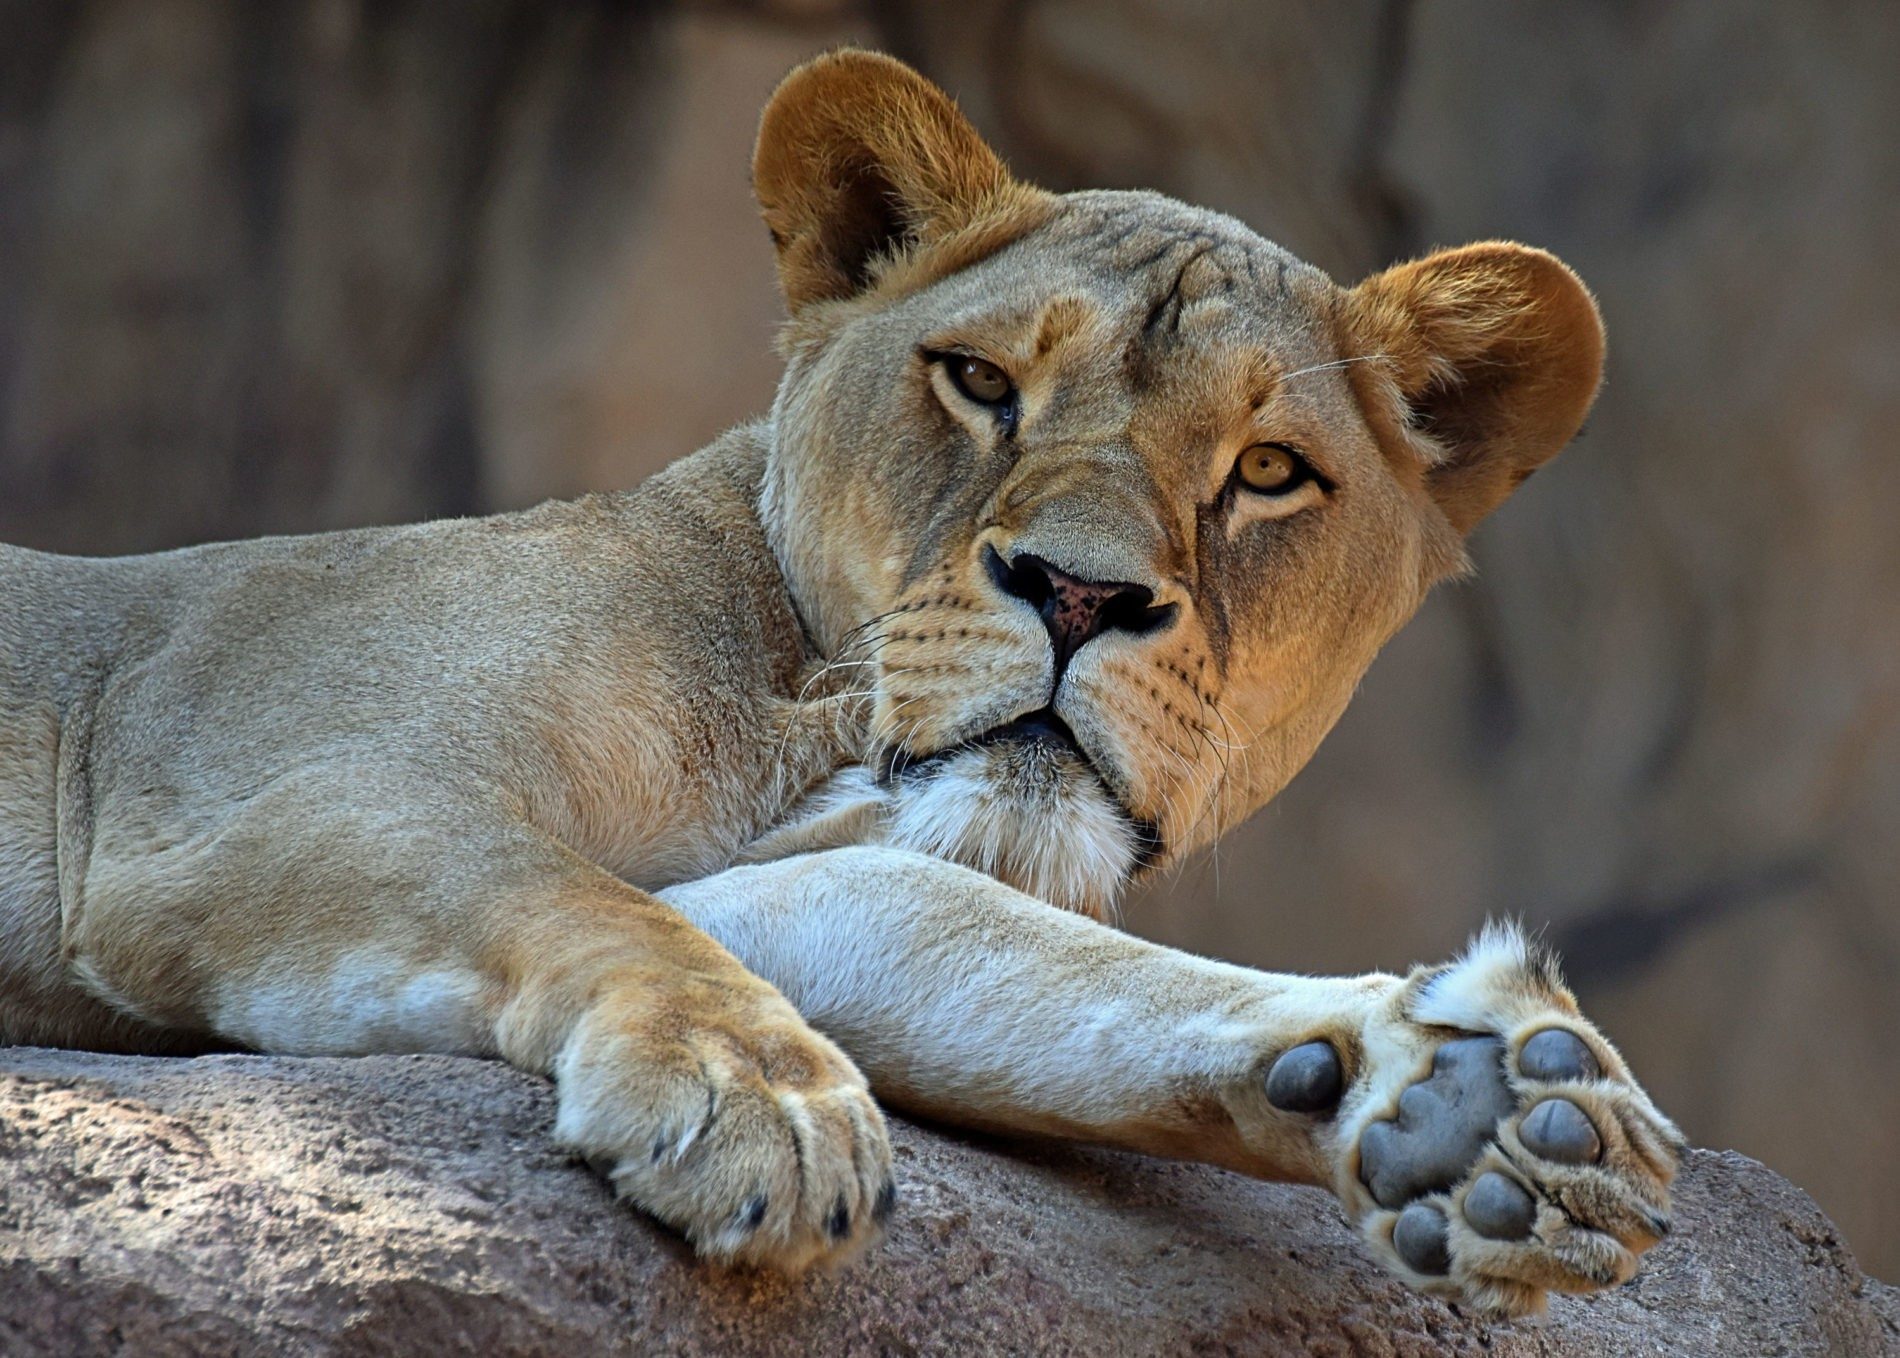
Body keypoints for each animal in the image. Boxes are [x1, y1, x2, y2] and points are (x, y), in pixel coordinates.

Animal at [0, 50, 1679, 1315]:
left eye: (1269, 471)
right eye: (982, 381)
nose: (1080, 592)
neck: (789, 716)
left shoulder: (775, 887)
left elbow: (1013, 954)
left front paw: (1469, 1106)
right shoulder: (241, 802)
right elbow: (572, 896)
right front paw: (760, 1104)